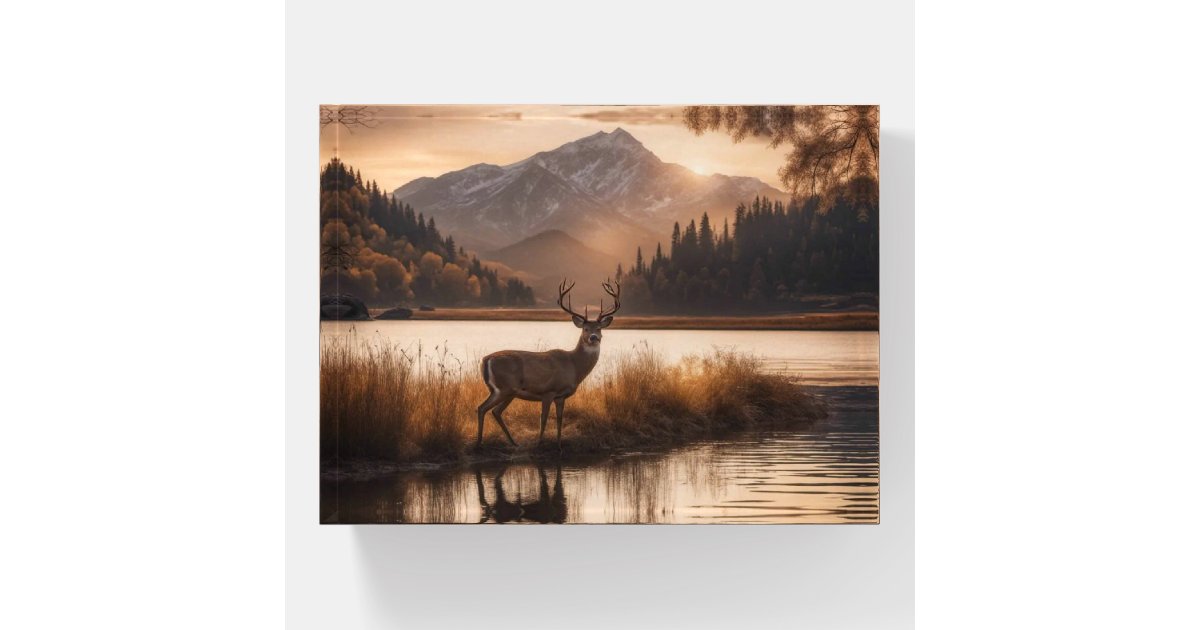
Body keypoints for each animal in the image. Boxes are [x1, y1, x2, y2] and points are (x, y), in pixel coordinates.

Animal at [476, 278, 621, 452]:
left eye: (599, 329)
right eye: (585, 329)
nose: (593, 337)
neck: (574, 366)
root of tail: (486, 359)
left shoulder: (561, 396)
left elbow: (559, 418)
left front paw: (559, 446)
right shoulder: (548, 391)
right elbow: (543, 418)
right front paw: (539, 444)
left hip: (504, 391)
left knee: (492, 411)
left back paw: (510, 442)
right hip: (506, 388)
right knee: (484, 408)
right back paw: (480, 443)